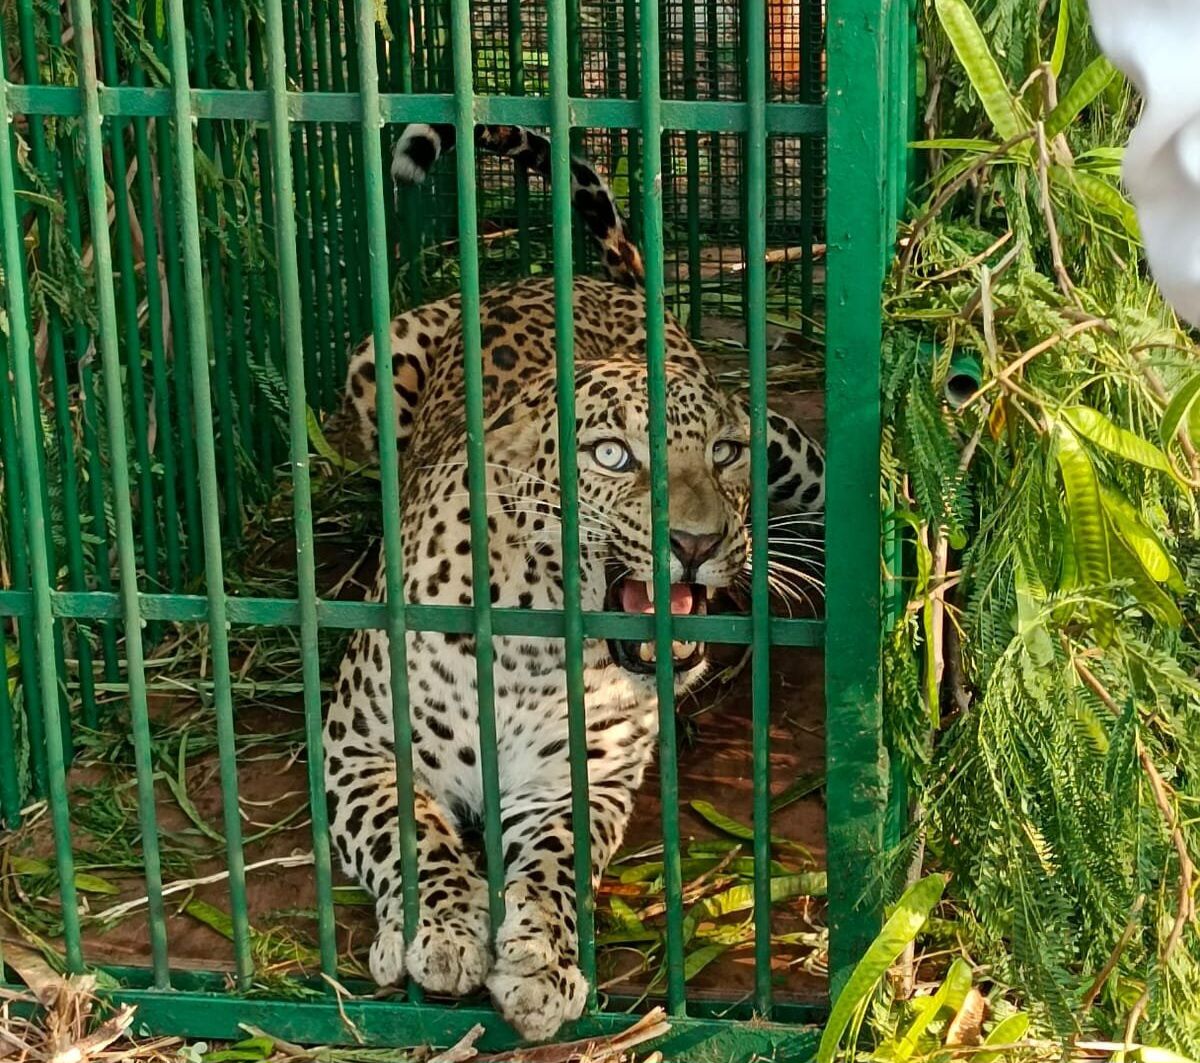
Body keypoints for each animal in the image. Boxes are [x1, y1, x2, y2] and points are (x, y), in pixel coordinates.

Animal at [322, 122, 825, 1041]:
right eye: (613, 456)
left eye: (722, 453)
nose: (697, 542)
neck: (535, 643)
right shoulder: (359, 744)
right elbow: (413, 834)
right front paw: (443, 930)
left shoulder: (577, 779)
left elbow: (555, 864)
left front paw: (540, 961)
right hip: (377, 357)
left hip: (787, 443)